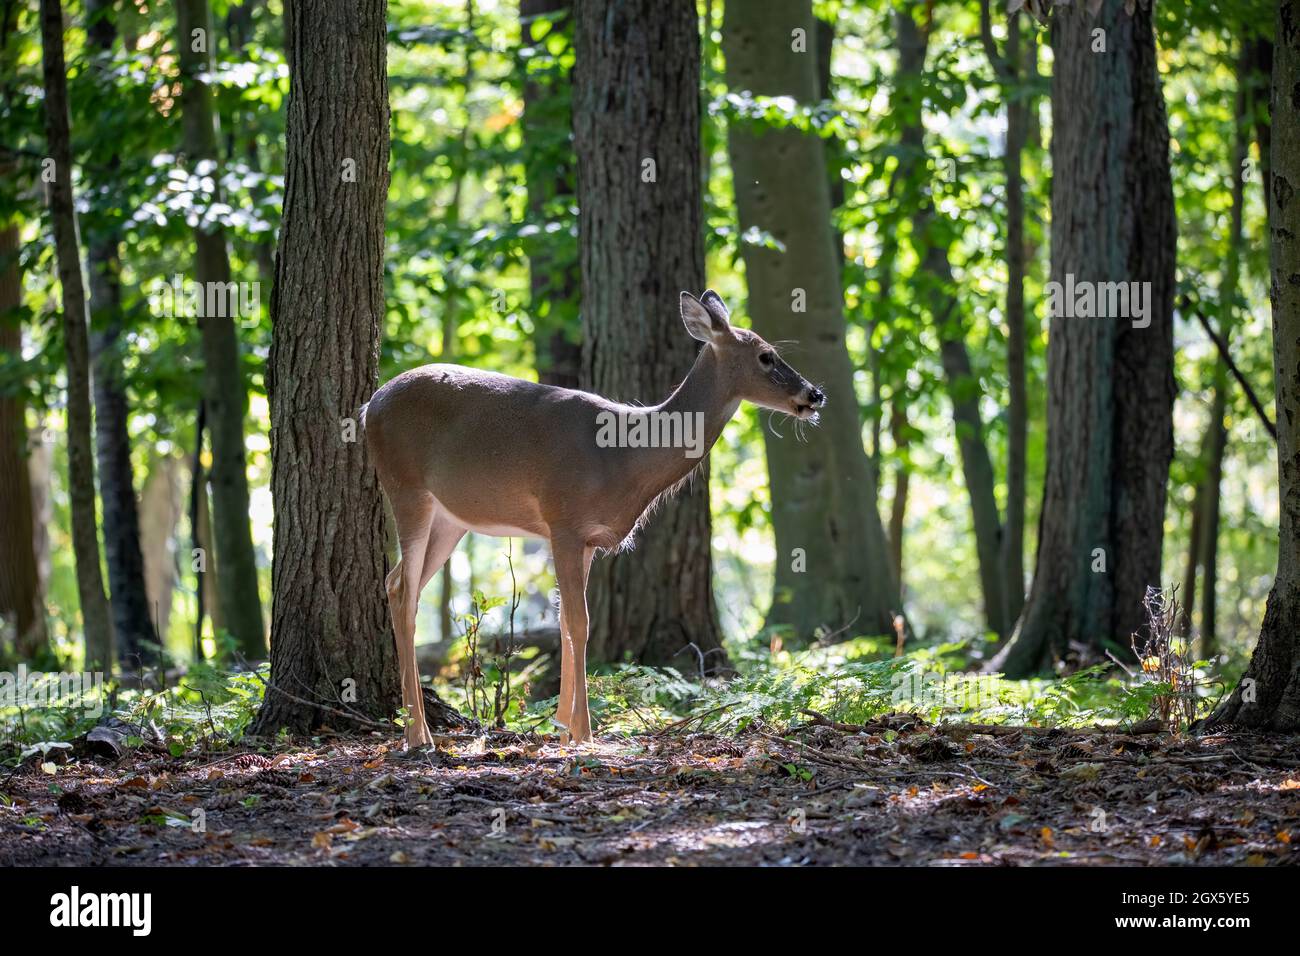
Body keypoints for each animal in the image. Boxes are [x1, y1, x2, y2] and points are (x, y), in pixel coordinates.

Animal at [363, 290, 825, 747]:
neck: (626, 455)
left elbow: (567, 624)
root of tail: (370, 406)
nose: (815, 394)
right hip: (406, 486)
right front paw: (584, 733)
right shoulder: (563, 520)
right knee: (403, 589)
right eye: (766, 356)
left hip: (451, 519)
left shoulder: (586, 539)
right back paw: (418, 735)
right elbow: (579, 623)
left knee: (399, 584)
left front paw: (563, 730)